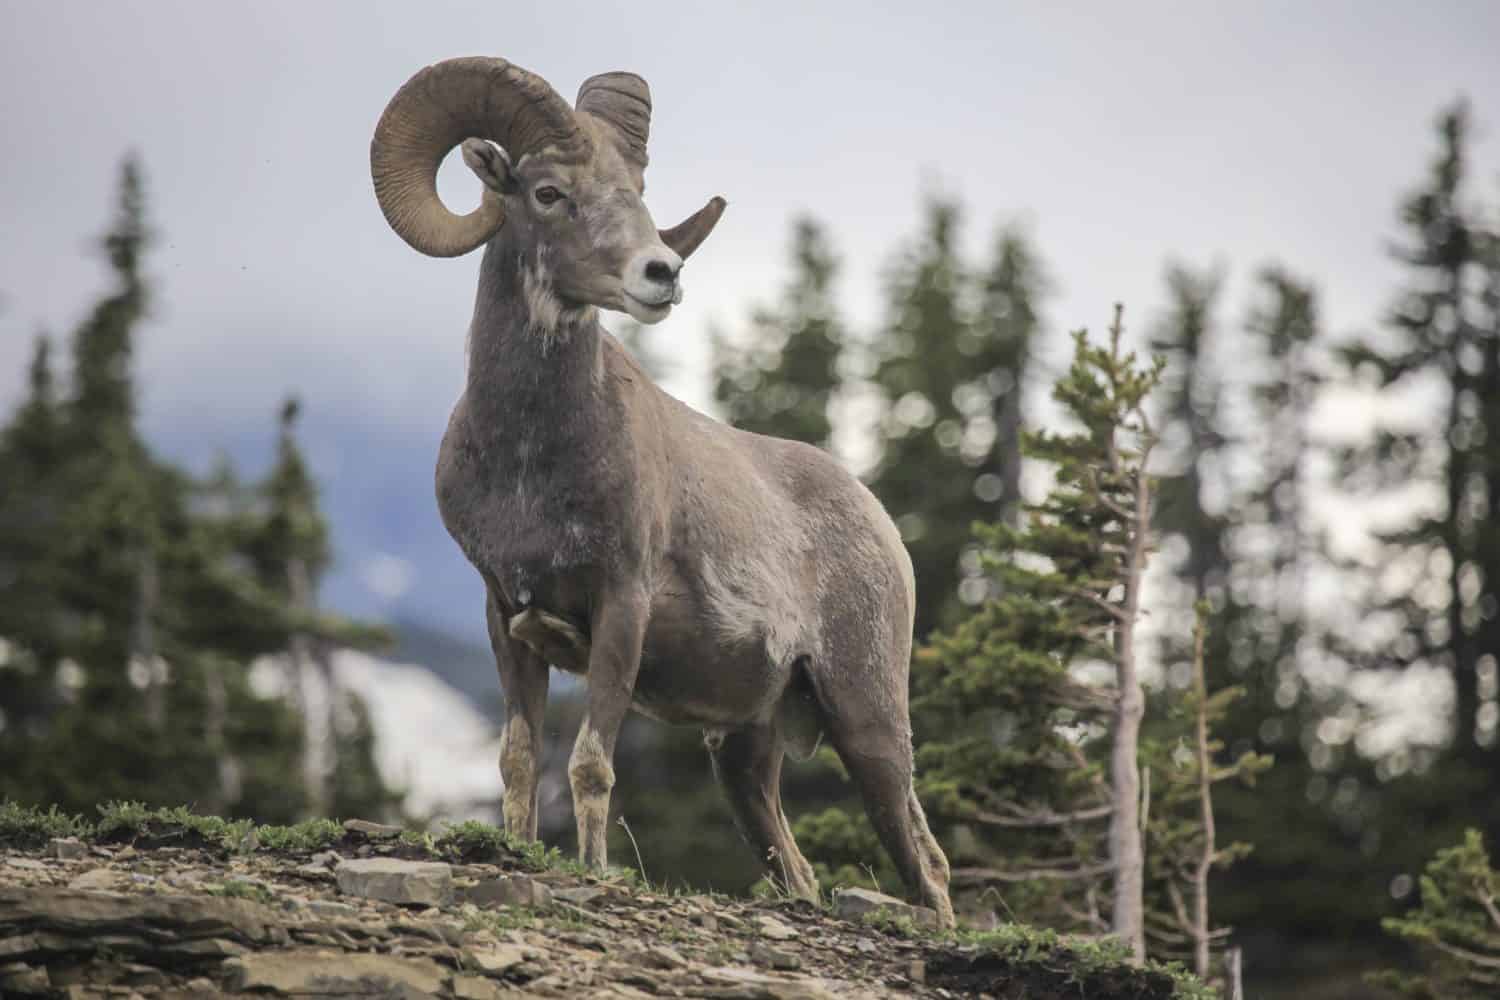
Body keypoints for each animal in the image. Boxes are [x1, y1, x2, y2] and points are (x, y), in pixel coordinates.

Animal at [370, 56, 953, 927]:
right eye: (548, 192)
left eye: (637, 195)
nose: (662, 276)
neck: (529, 466)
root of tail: (883, 529)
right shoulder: (506, 614)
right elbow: (518, 759)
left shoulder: (621, 605)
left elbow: (591, 764)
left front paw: (594, 870)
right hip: (745, 756)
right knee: (800, 867)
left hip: (869, 721)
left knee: (926, 861)